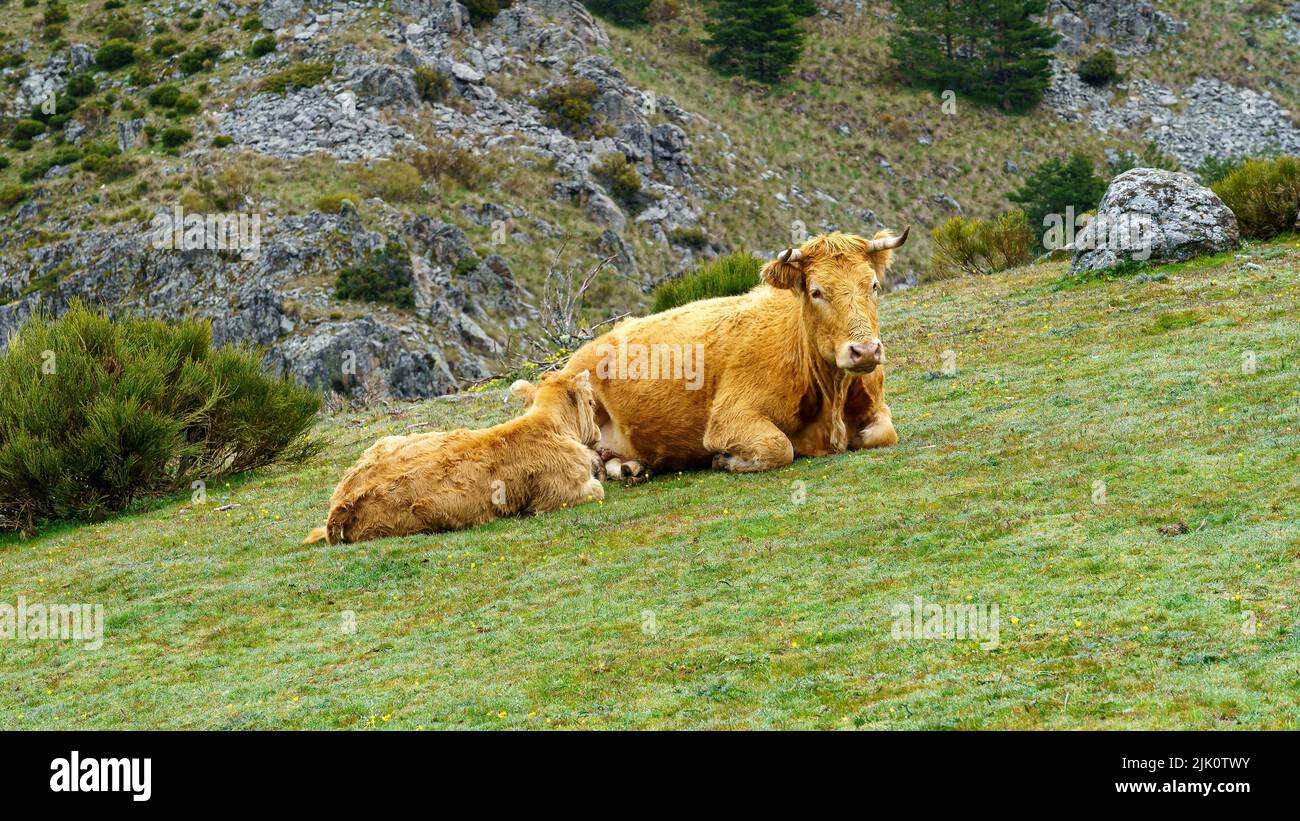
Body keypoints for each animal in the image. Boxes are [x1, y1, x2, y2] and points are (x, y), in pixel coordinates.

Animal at [304, 370, 604, 543]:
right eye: (591, 402)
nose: (599, 433)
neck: (549, 423)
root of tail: (338, 506)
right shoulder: (561, 492)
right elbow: (598, 489)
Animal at [558, 229, 907, 479]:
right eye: (816, 292)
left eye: (873, 286)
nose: (865, 351)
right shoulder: (729, 418)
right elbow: (779, 446)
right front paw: (725, 460)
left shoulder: (876, 407)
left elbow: (885, 433)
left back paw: (632, 468)